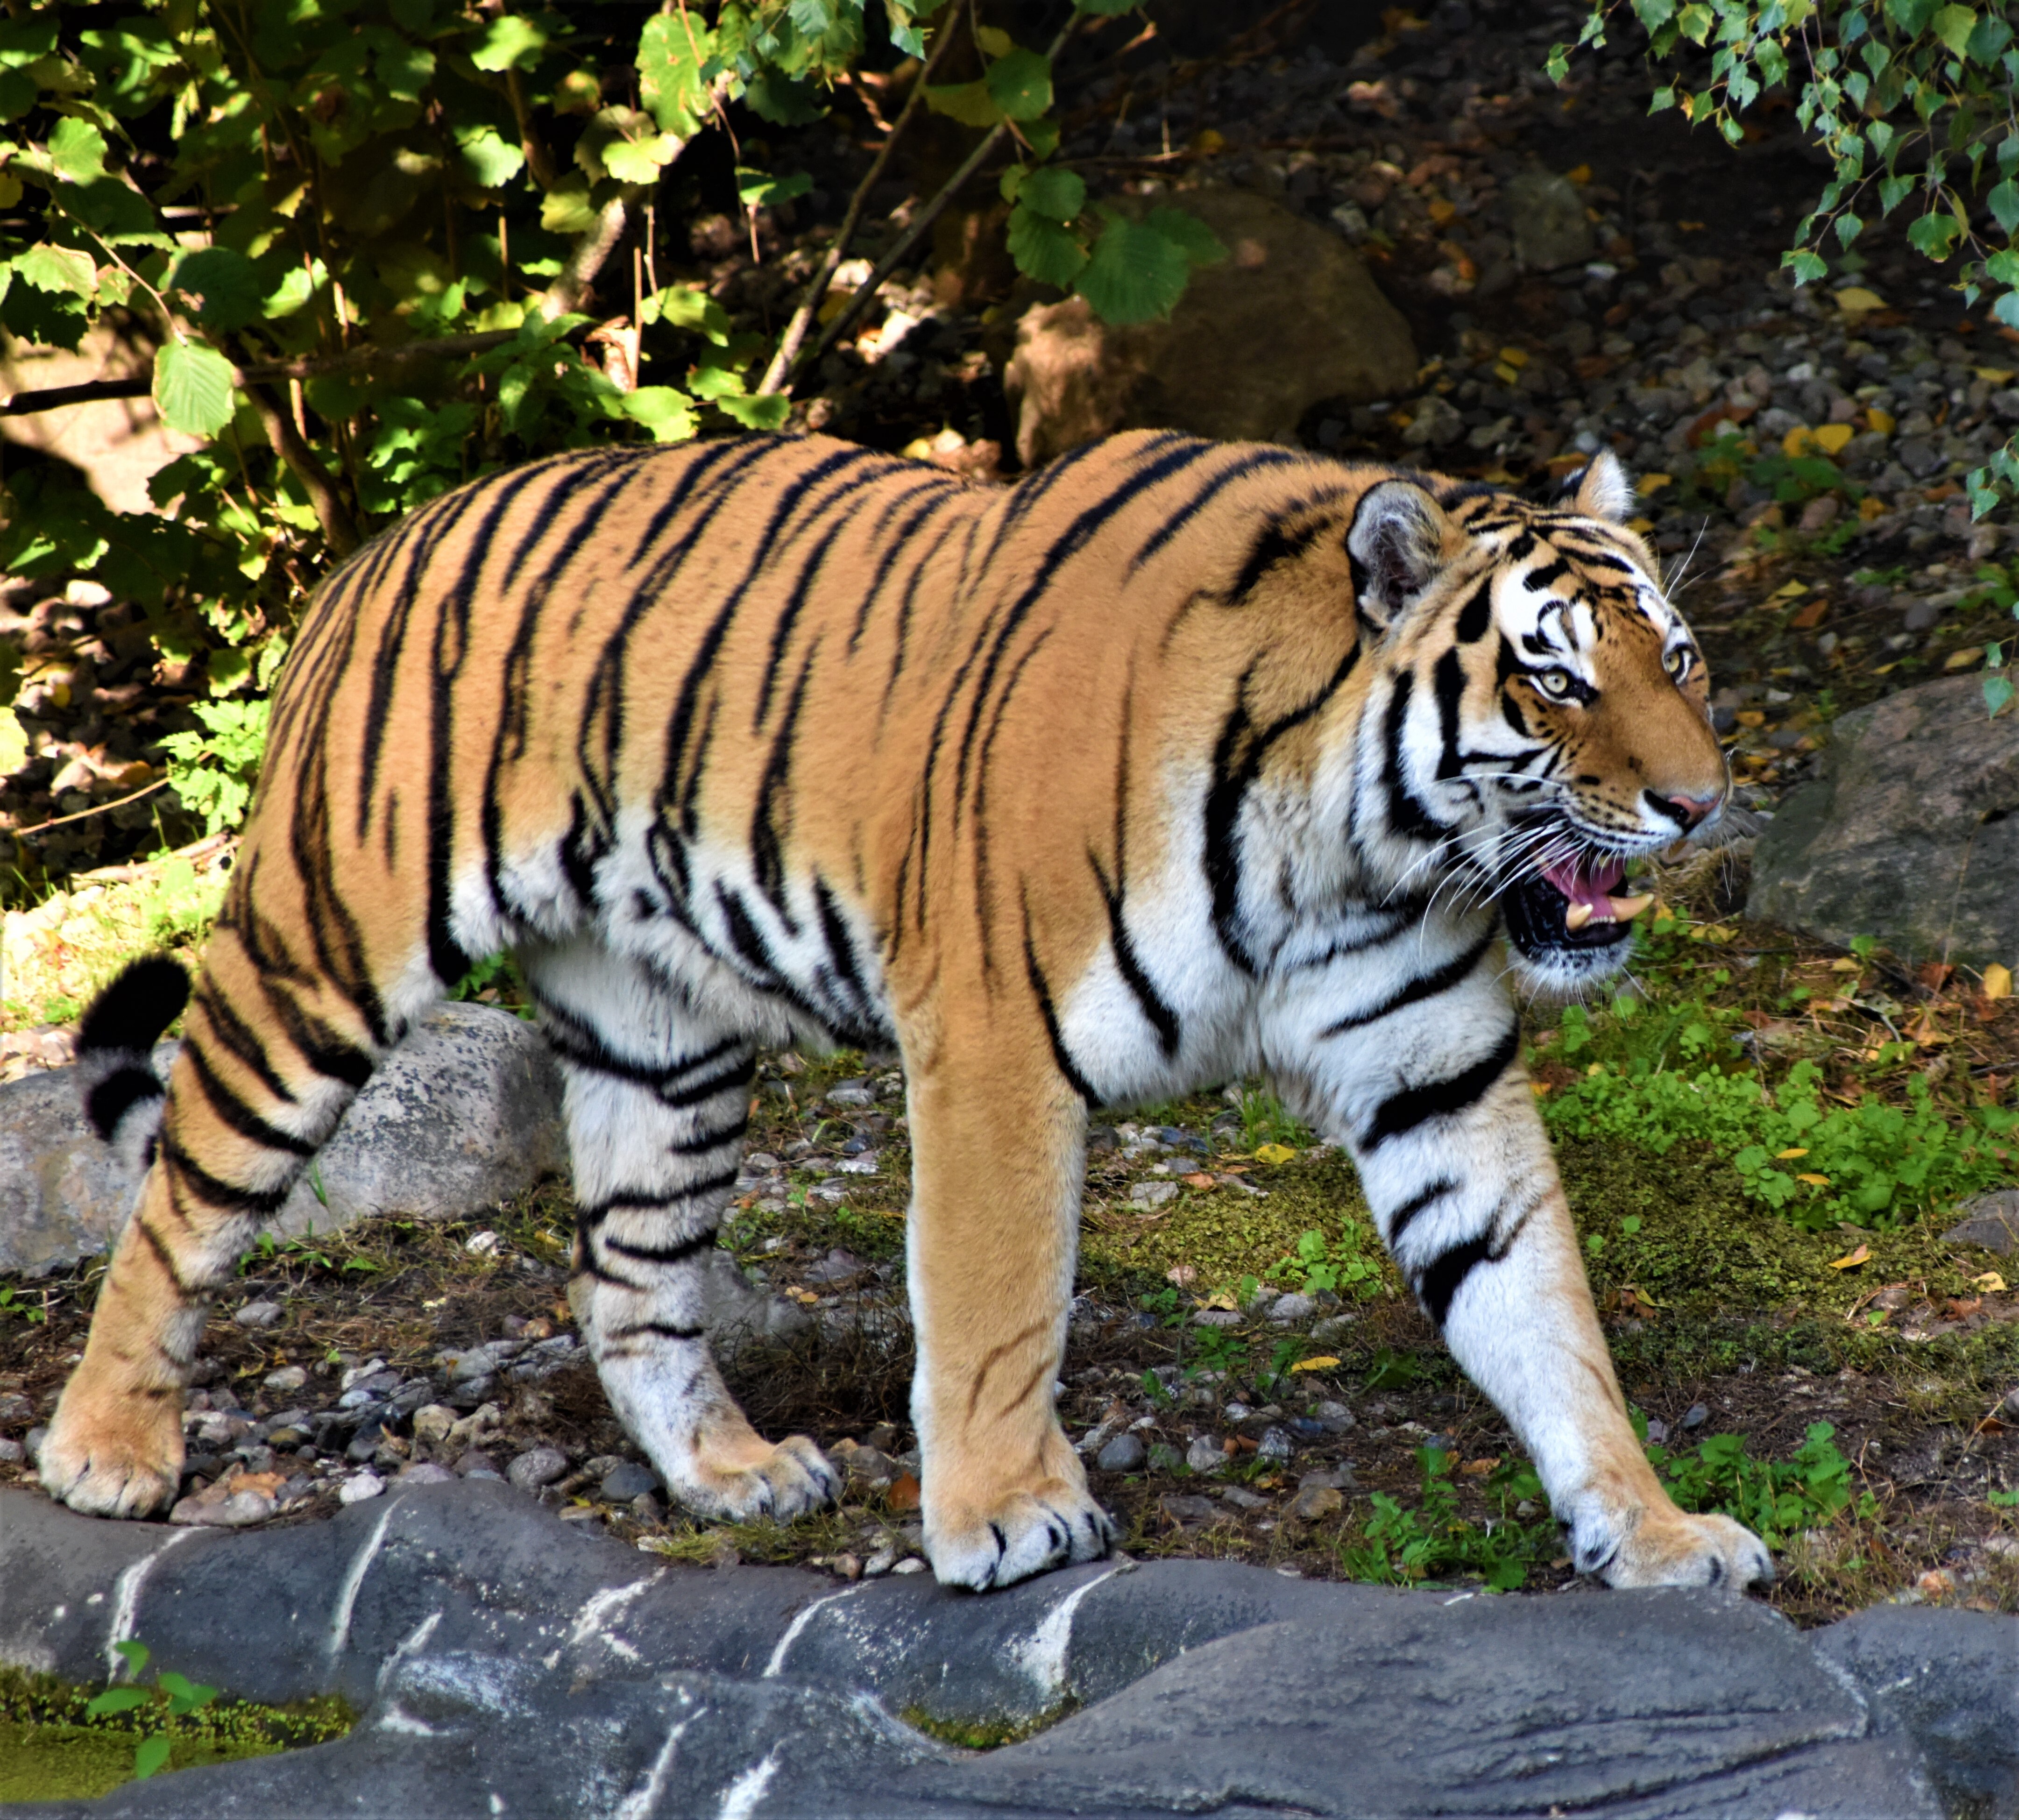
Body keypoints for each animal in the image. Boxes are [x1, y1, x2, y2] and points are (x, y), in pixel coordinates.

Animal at [39, 428, 1772, 1595]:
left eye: (1681, 659)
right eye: (1555, 679)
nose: (1697, 804)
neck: (1357, 848)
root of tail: (381, 544)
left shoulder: (1435, 1076)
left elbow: (1541, 1310)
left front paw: (1655, 1528)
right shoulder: (999, 1047)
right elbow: (1000, 1307)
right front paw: (1008, 1515)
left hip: (664, 1051)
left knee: (625, 1278)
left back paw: (732, 1474)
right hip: (325, 951)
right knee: (179, 1198)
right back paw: (106, 1452)